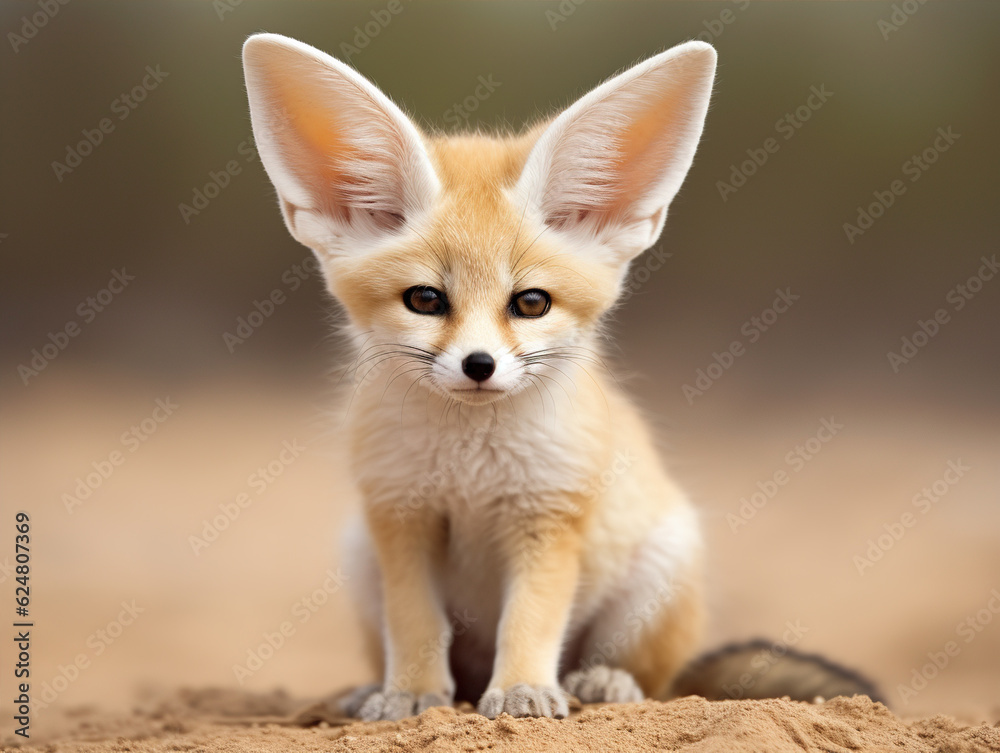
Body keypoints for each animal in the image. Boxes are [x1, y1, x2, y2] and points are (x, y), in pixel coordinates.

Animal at [241, 33, 881, 721]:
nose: (479, 365)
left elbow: (530, 621)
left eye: (530, 303)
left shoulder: (548, 517)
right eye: (425, 300)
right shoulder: (401, 515)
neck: (471, 469)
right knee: (450, 671)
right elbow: (414, 625)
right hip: (360, 555)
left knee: (653, 680)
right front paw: (410, 694)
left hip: (658, 572)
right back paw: (381, 689)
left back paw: (604, 684)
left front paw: (523, 690)